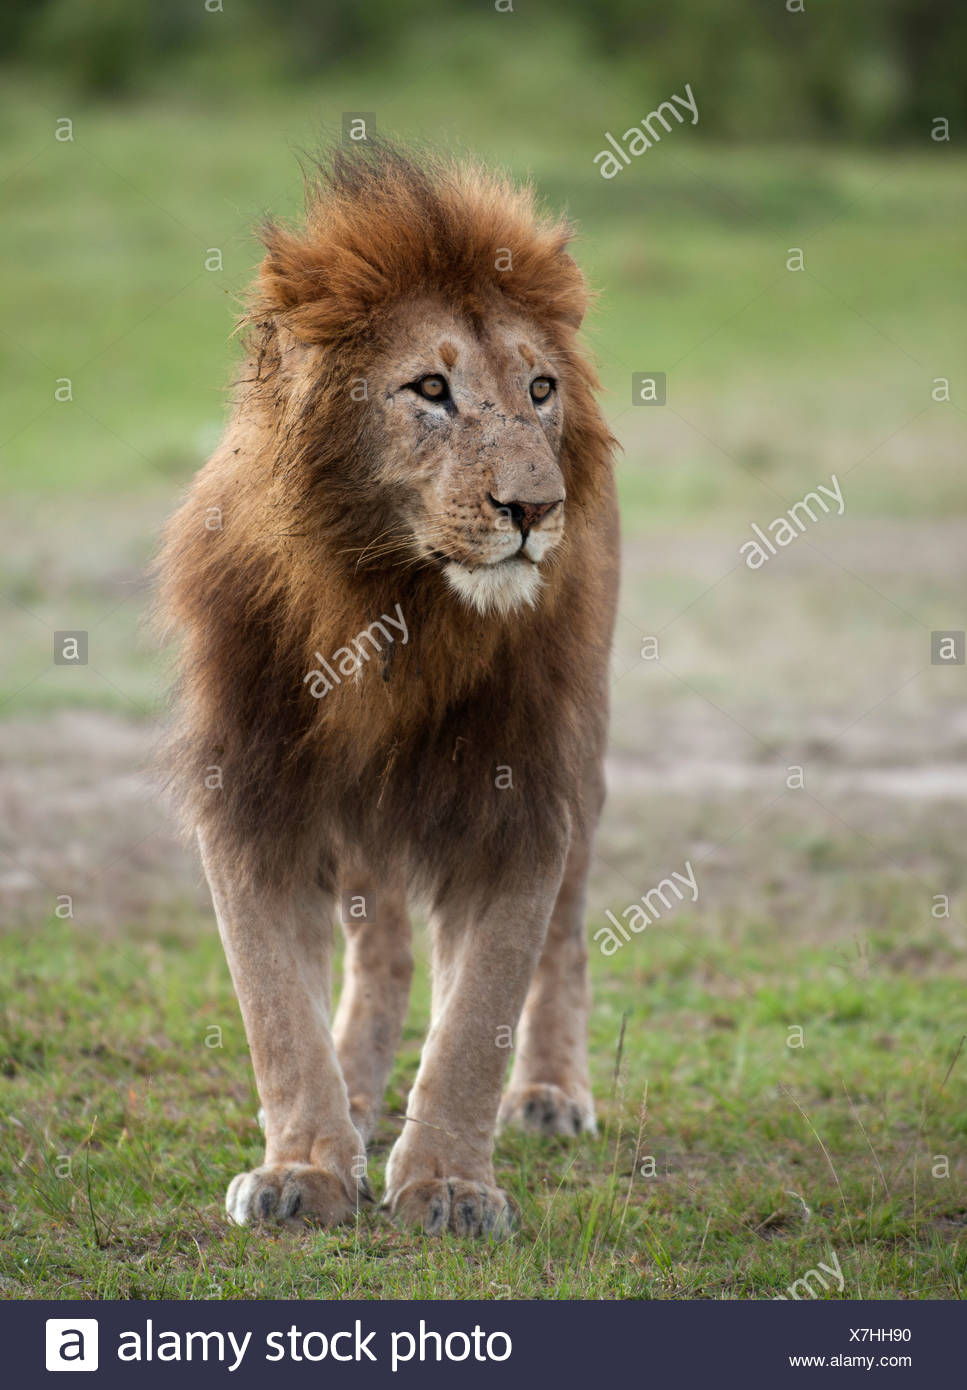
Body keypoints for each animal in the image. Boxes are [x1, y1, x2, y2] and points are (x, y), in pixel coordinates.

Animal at [156, 141, 619, 1236]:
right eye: (429, 389)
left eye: (539, 387)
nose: (536, 508)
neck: (387, 606)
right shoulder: (252, 794)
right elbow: (275, 1008)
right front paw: (305, 1169)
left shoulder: (518, 797)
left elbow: (480, 1012)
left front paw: (449, 1183)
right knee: (383, 956)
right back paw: (359, 1095)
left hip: (582, 755)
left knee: (560, 943)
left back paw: (547, 1094)